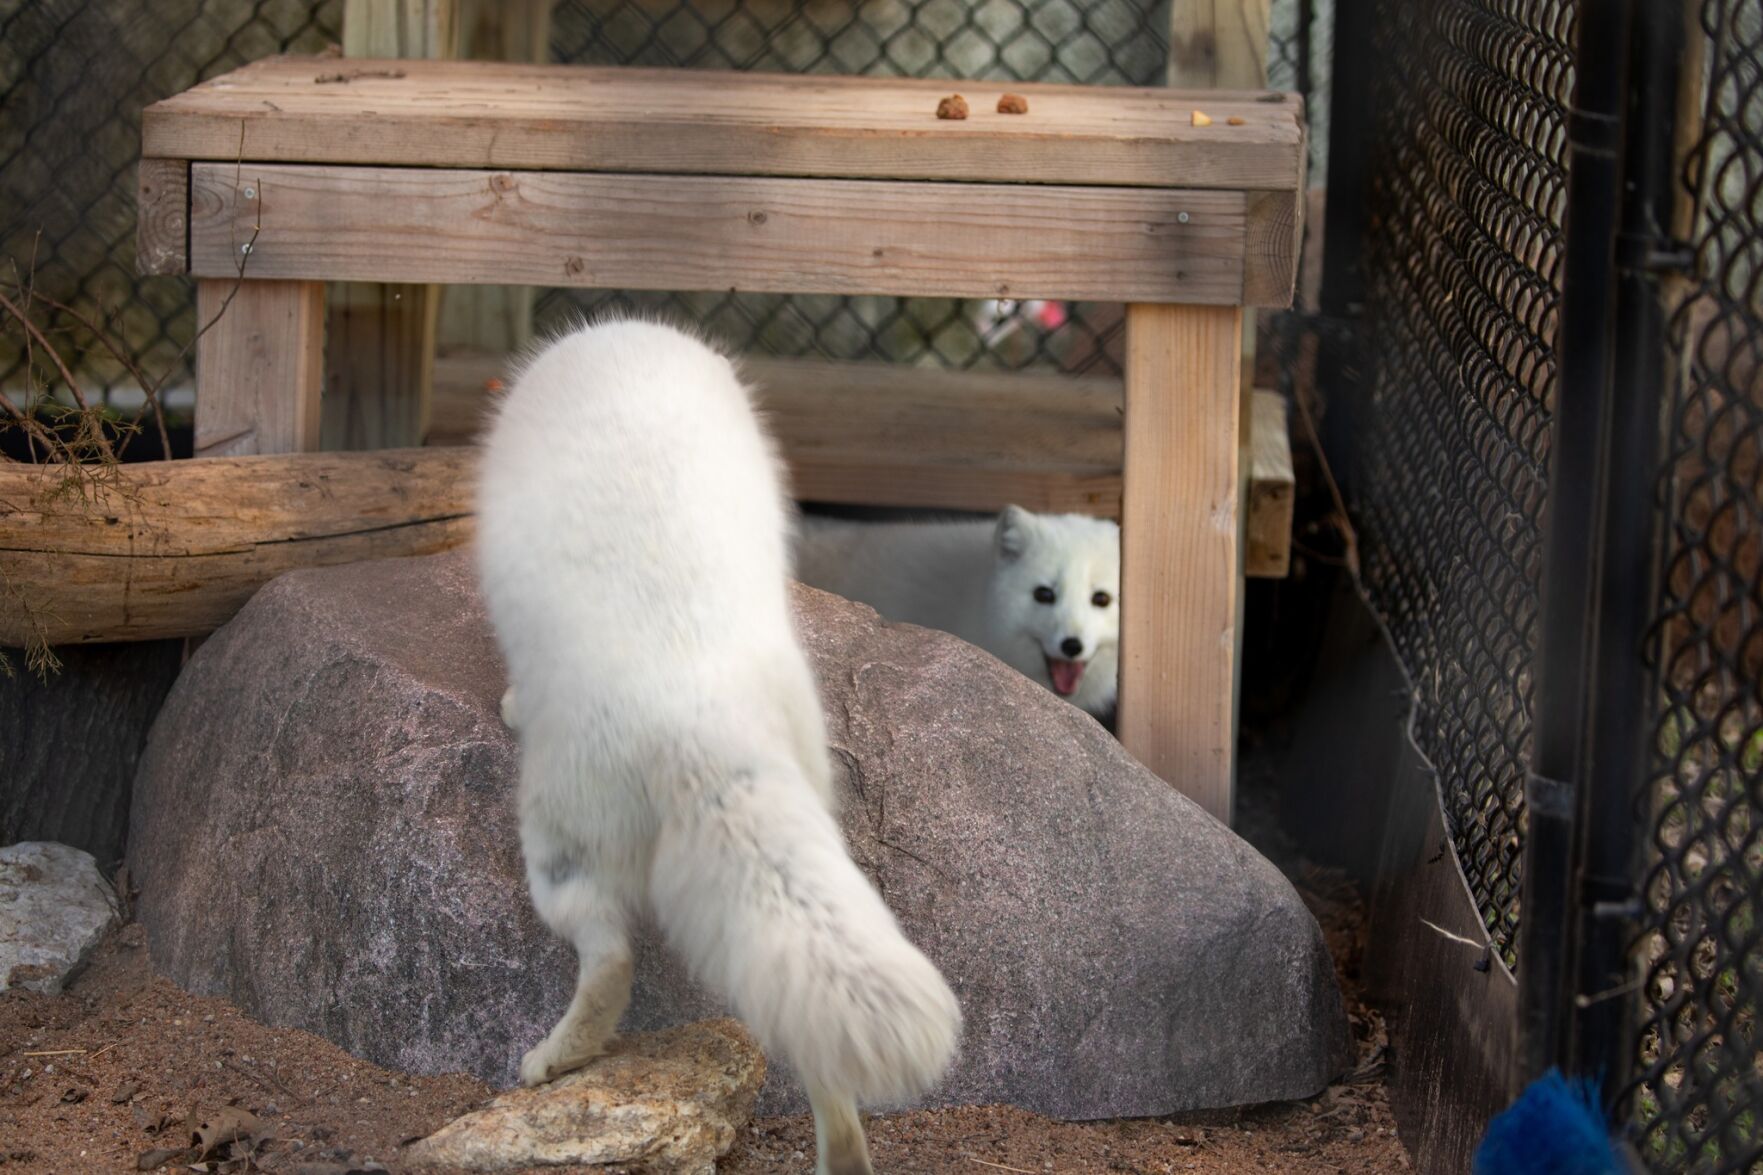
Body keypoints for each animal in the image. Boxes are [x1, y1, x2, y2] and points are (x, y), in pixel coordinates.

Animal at [475, 318, 961, 1175]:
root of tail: (698, 723)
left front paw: (508, 703)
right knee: (814, 1054)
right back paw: (843, 1154)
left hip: (557, 831)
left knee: (609, 955)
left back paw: (551, 1058)